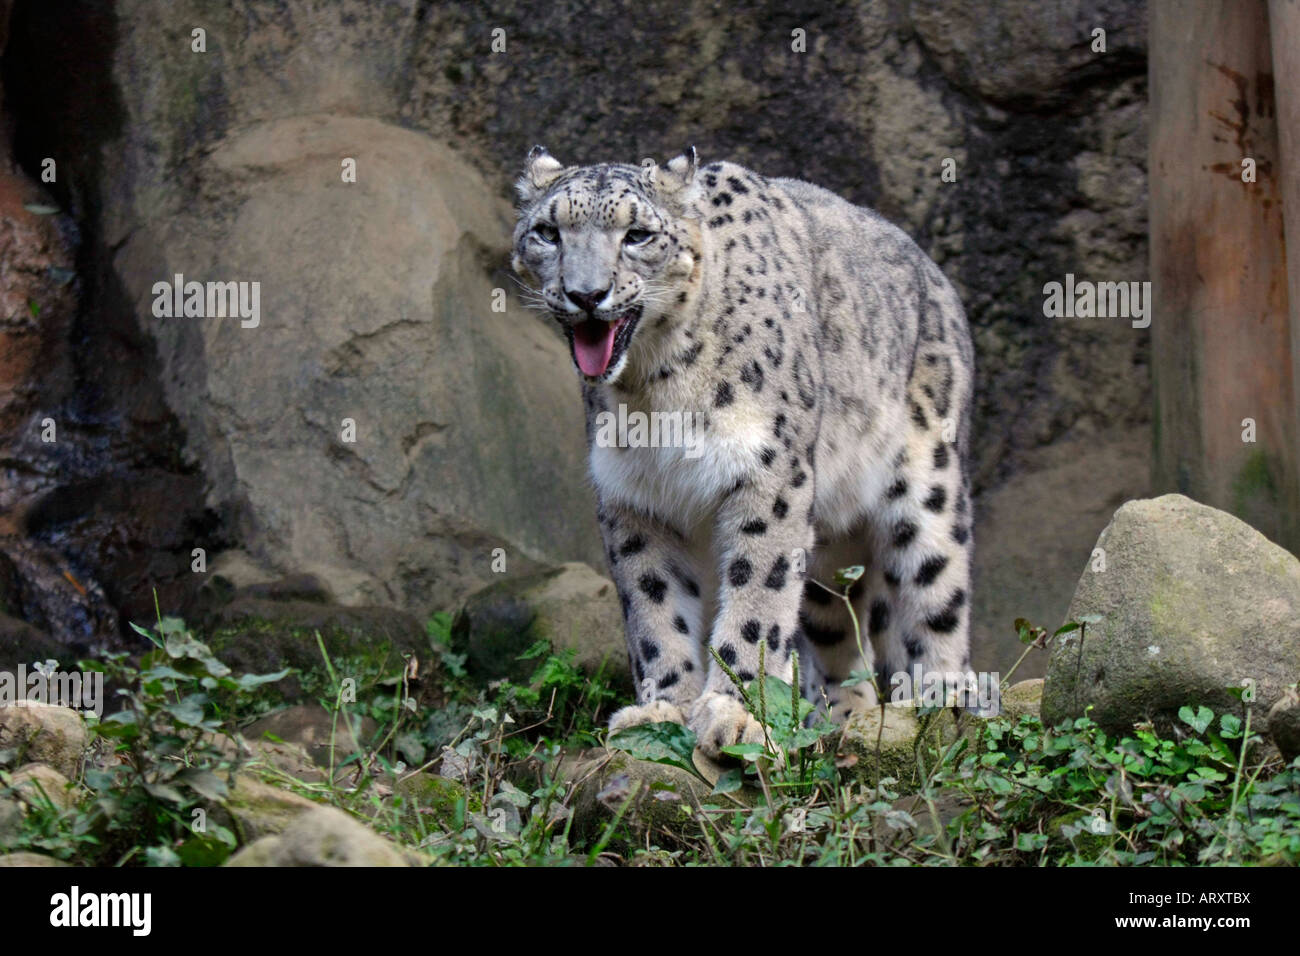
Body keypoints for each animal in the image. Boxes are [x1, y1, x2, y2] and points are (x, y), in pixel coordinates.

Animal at [511, 145, 977, 759]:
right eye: (548, 232)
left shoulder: (769, 474)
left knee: (937, 600)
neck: (652, 387)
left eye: (637, 234)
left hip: (929, 488)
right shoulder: (632, 496)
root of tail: (938, 278)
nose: (585, 294)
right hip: (829, 551)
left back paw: (941, 710)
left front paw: (733, 713)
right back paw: (841, 720)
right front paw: (662, 708)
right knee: (840, 630)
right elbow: (654, 606)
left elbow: (758, 595)